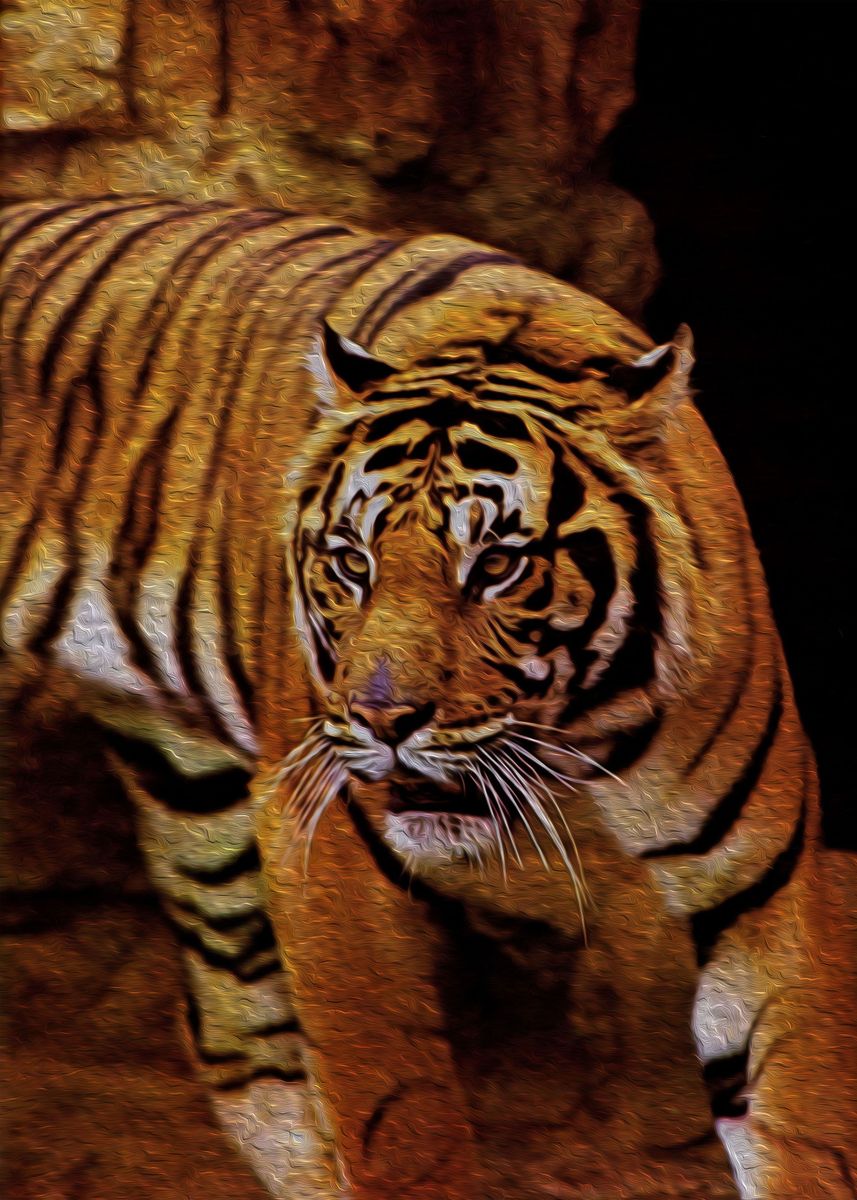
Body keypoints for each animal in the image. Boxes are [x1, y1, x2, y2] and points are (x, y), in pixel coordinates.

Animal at [1, 196, 854, 1200]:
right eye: (350, 561)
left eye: (496, 566)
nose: (384, 720)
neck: (577, 728)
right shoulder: (320, 839)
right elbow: (398, 1116)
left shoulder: (761, 881)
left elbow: (793, 1120)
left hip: (191, 796)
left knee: (235, 1038)